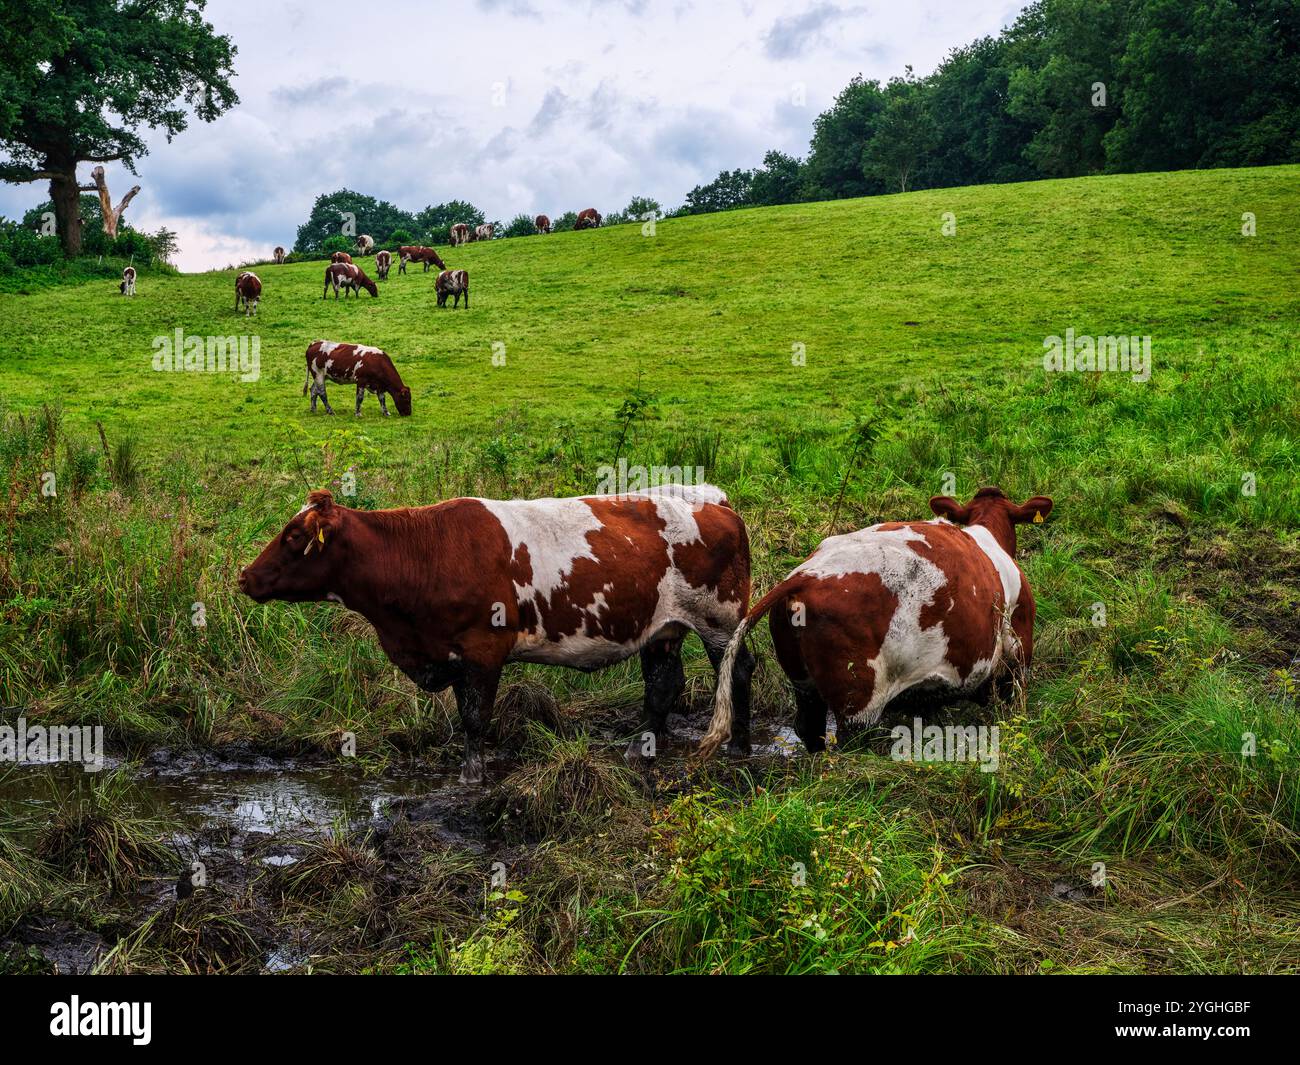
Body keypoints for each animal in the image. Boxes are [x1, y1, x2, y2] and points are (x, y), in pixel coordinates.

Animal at [238, 484, 756, 783]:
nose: (245, 576)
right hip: (663, 627)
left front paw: (472, 775)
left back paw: (740, 746)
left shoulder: (482, 650)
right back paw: (640, 748)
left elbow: (474, 717)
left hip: (719, 622)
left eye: (293, 537)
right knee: (663, 683)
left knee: (738, 670)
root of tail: (715, 501)